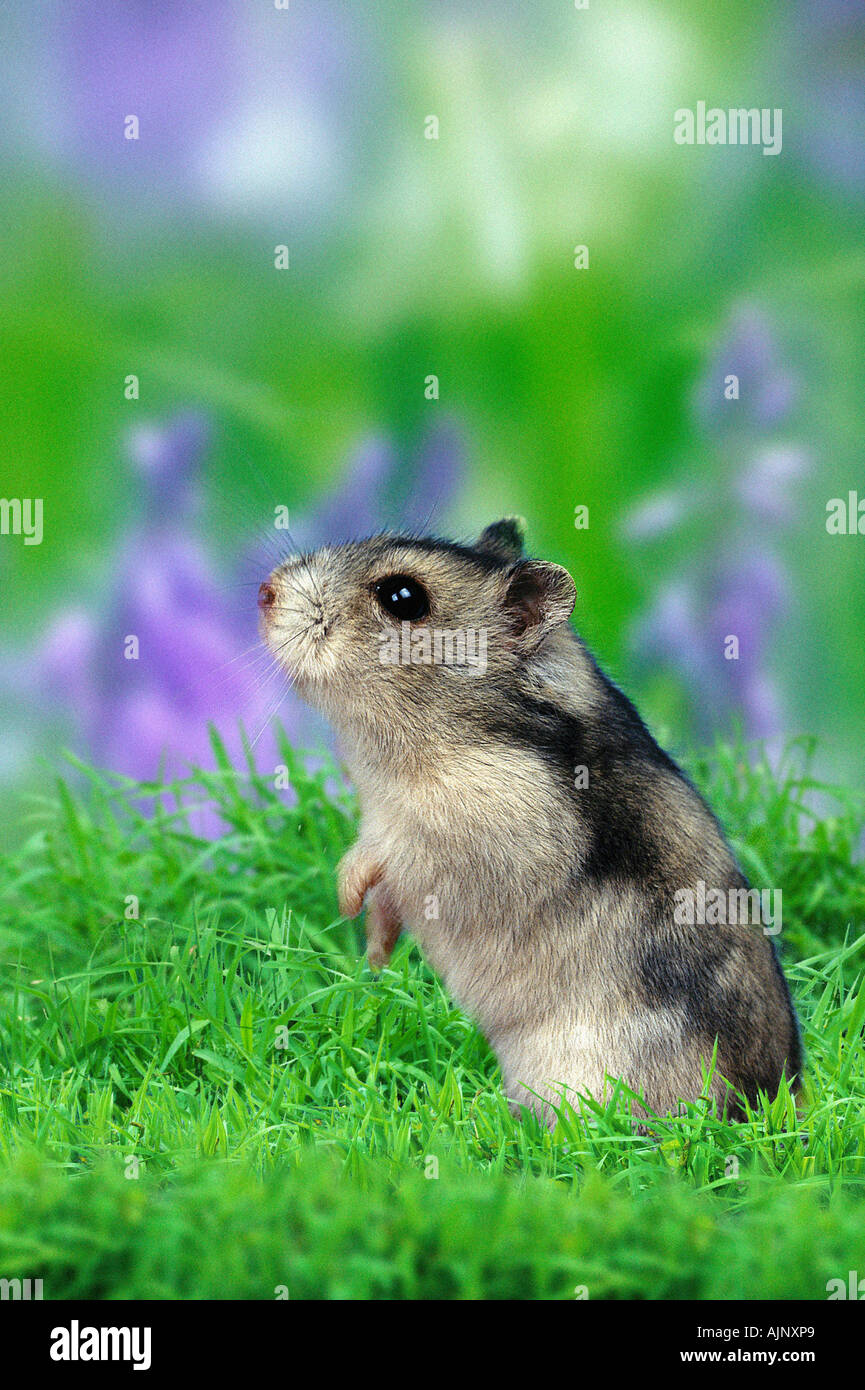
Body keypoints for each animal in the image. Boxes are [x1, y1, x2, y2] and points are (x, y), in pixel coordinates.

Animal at [258, 519, 802, 1125]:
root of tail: (773, 1104)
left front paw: (345, 901)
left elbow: (383, 853)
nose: (264, 593)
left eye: (403, 598)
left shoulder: (476, 825)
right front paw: (376, 957)